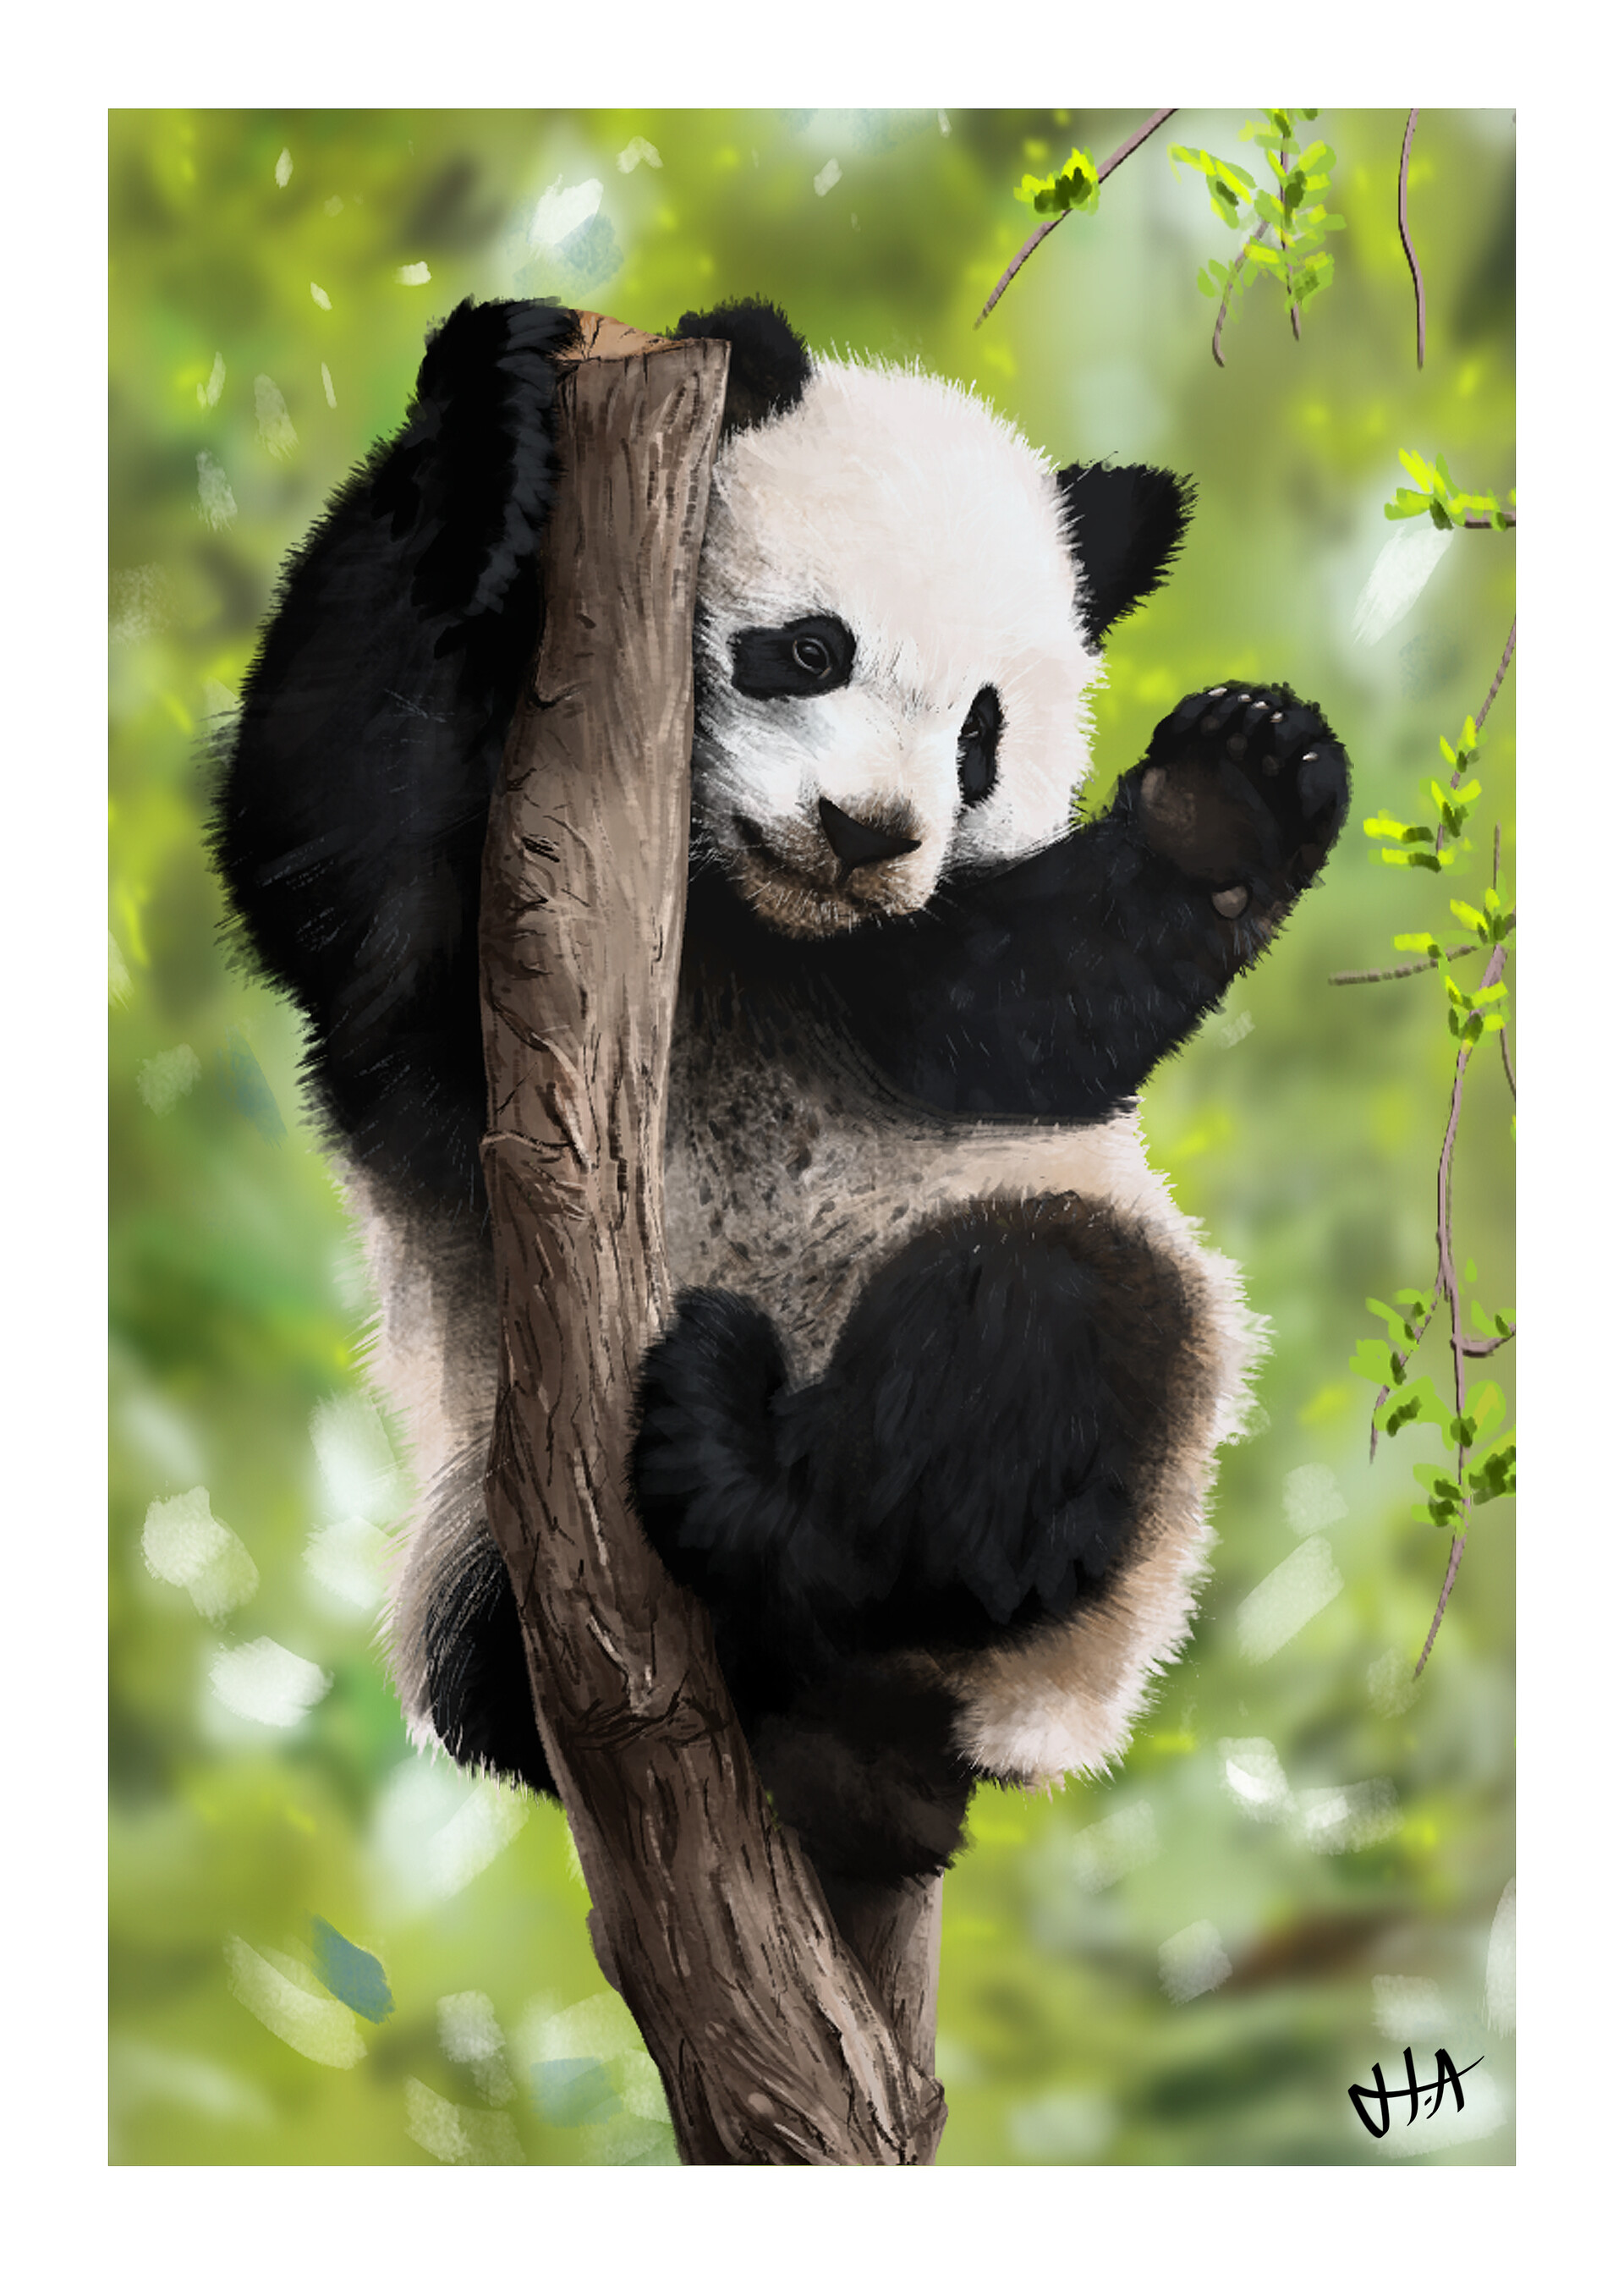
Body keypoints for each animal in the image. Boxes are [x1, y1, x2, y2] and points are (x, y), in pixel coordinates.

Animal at [215, 296, 1349, 1905]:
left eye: (981, 738)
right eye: (809, 649)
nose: (864, 833)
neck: (748, 916)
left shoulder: (897, 980)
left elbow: (1029, 1012)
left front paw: (1227, 797)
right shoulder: (501, 916)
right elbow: (327, 841)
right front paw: (498, 411)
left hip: (1095, 1537)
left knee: (1042, 1326)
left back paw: (749, 1491)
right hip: (480, 1487)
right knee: (474, 1626)